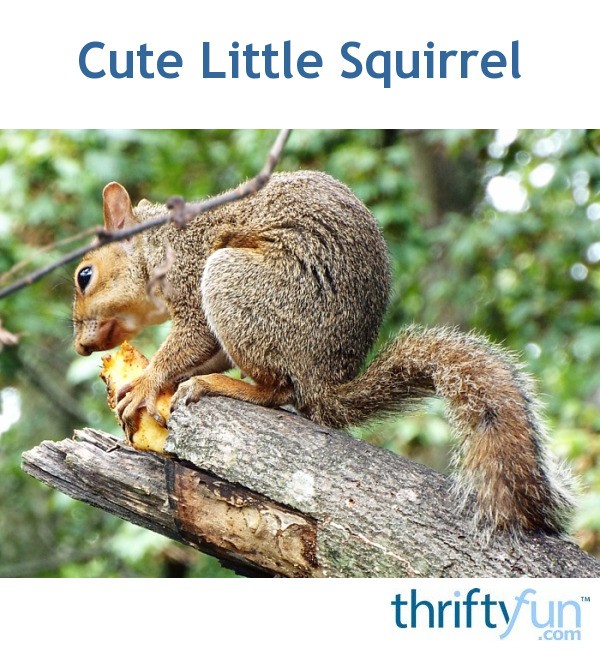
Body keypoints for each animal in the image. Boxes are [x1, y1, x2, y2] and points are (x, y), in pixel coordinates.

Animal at [73, 170, 576, 536]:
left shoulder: (193, 275)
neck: (157, 246)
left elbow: (190, 341)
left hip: (236, 285)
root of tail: (324, 379)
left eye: (84, 275)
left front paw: (146, 383)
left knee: (279, 390)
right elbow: (208, 349)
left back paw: (223, 386)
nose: (80, 345)